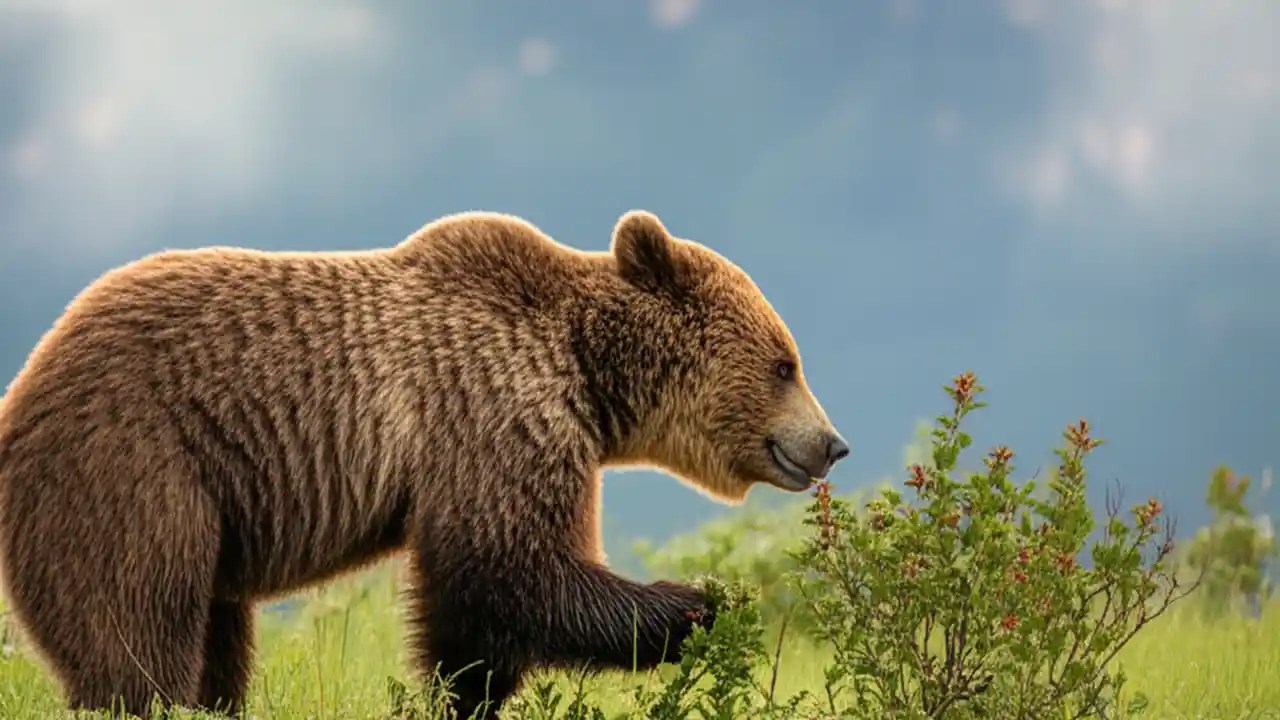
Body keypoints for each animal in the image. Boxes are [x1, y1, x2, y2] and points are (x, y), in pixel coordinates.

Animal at [0, 208, 849, 719]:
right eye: (785, 363)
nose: (833, 442)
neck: (586, 372)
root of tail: (23, 385)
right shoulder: (490, 408)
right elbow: (505, 571)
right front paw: (706, 601)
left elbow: (478, 616)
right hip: (131, 463)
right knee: (135, 634)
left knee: (213, 639)